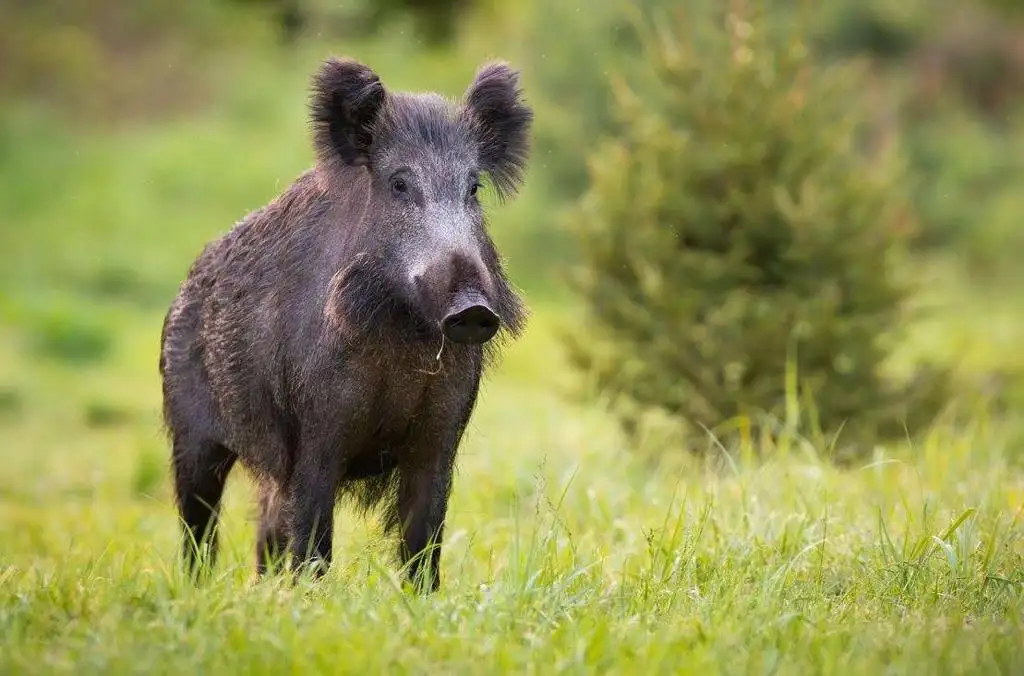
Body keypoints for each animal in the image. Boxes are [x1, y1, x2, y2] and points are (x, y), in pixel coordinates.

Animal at [158, 56, 532, 592]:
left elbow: (424, 538)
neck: (402, 344)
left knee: (266, 530)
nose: (473, 309)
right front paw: (313, 598)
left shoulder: (442, 433)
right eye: (399, 184)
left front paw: (422, 598)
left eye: (473, 188)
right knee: (198, 525)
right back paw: (198, 588)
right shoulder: (315, 431)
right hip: (188, 431)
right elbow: (316, 540)